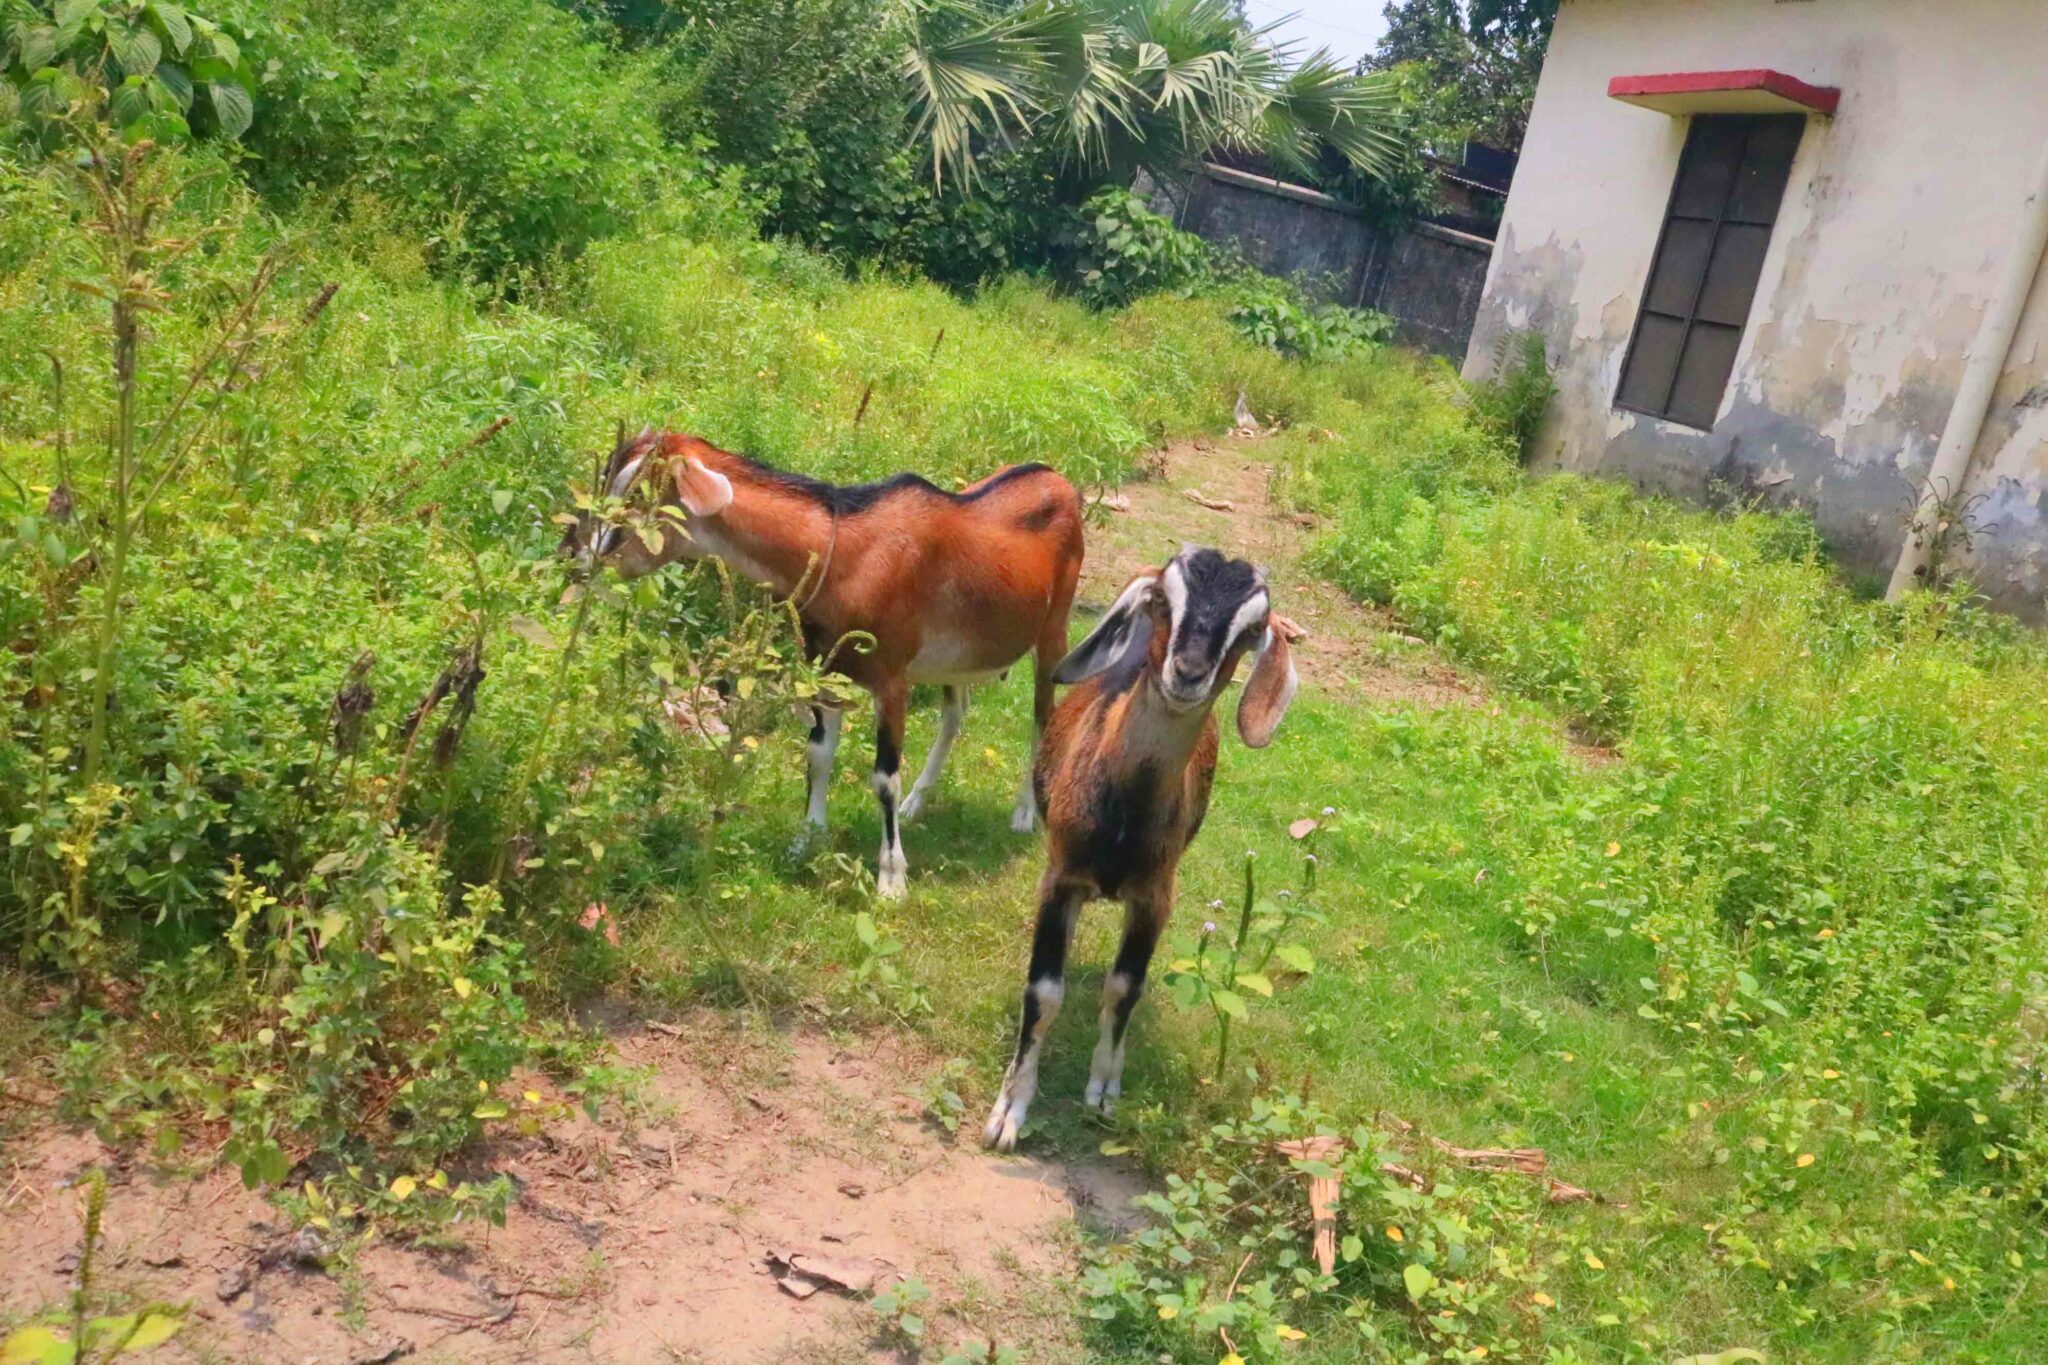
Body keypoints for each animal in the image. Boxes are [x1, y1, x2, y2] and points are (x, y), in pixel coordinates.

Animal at [561, 430, 1084, 898]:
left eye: (640, 494)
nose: (573, 555)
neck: (848, 557)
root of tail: (1055, 478)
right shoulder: (824, 671)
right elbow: (817, 756)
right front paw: (805, 841)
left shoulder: (891, 679)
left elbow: (884, 778)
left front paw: (891, 878)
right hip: (954, 656)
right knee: (956, 713)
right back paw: (919, 801)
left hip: (1054, 627)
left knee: (1042, 715)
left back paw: (1023, 813)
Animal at [983, 546, 1298, 1151]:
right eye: (1163, 601)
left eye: (1250, 630)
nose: (1189, 673)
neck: (1122, 818)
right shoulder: (1059, 880)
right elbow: (1044, 993)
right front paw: (1009, 1110)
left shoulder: (1155, 896)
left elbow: (1124, 989)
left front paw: (1104, 1090)